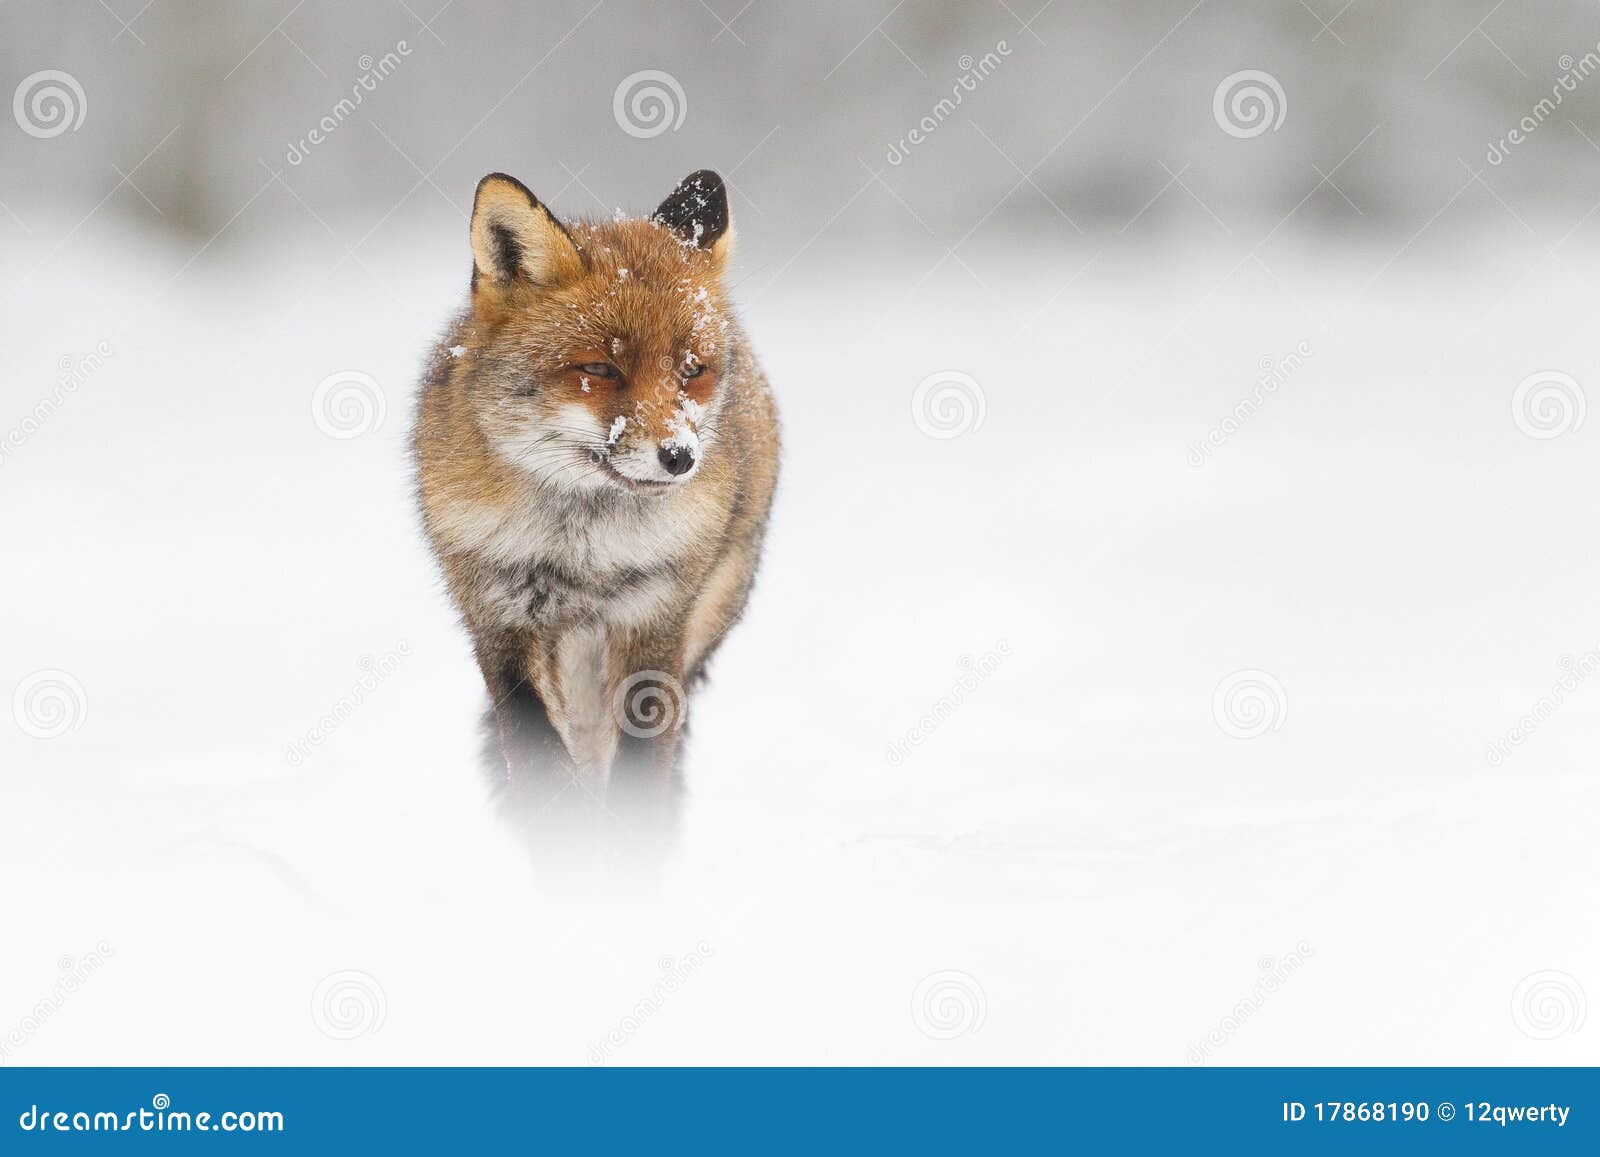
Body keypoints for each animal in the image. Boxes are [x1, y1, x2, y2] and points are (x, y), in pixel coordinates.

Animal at [412, 169, 780, 830]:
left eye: (692, 370)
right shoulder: (499, 621)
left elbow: (637, 775)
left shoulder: (655, 619)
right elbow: (539, 762)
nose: (679, 457)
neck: (582, 551)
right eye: (601, 369)